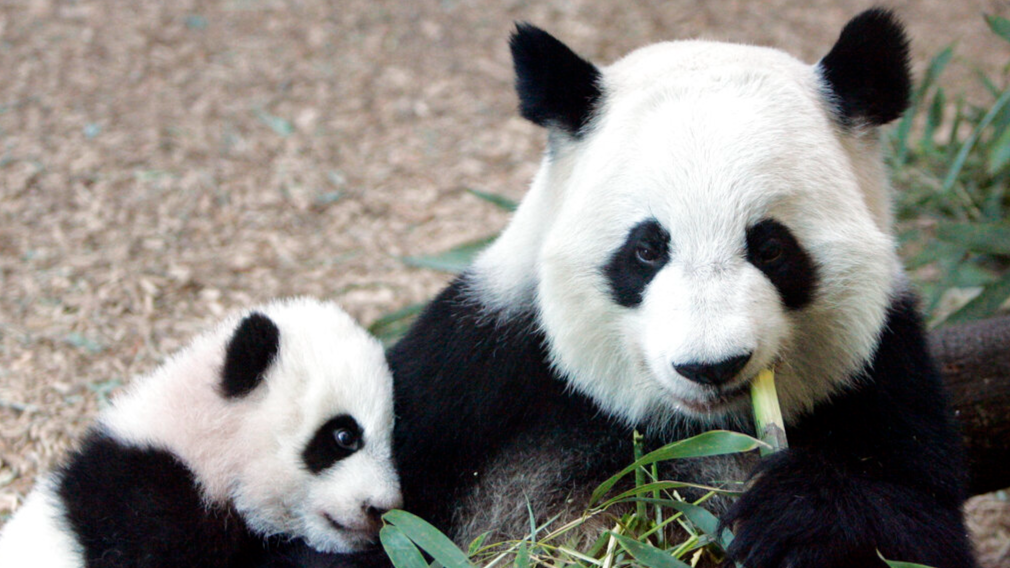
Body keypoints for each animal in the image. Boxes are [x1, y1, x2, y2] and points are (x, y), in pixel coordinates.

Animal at [283, 9, 977, 568]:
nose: (711, 366)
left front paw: (793, 513)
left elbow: (916, 524)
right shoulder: (473, 375)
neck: (683, 425)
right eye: (646, 250)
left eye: (771, 247)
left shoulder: (883, 376)